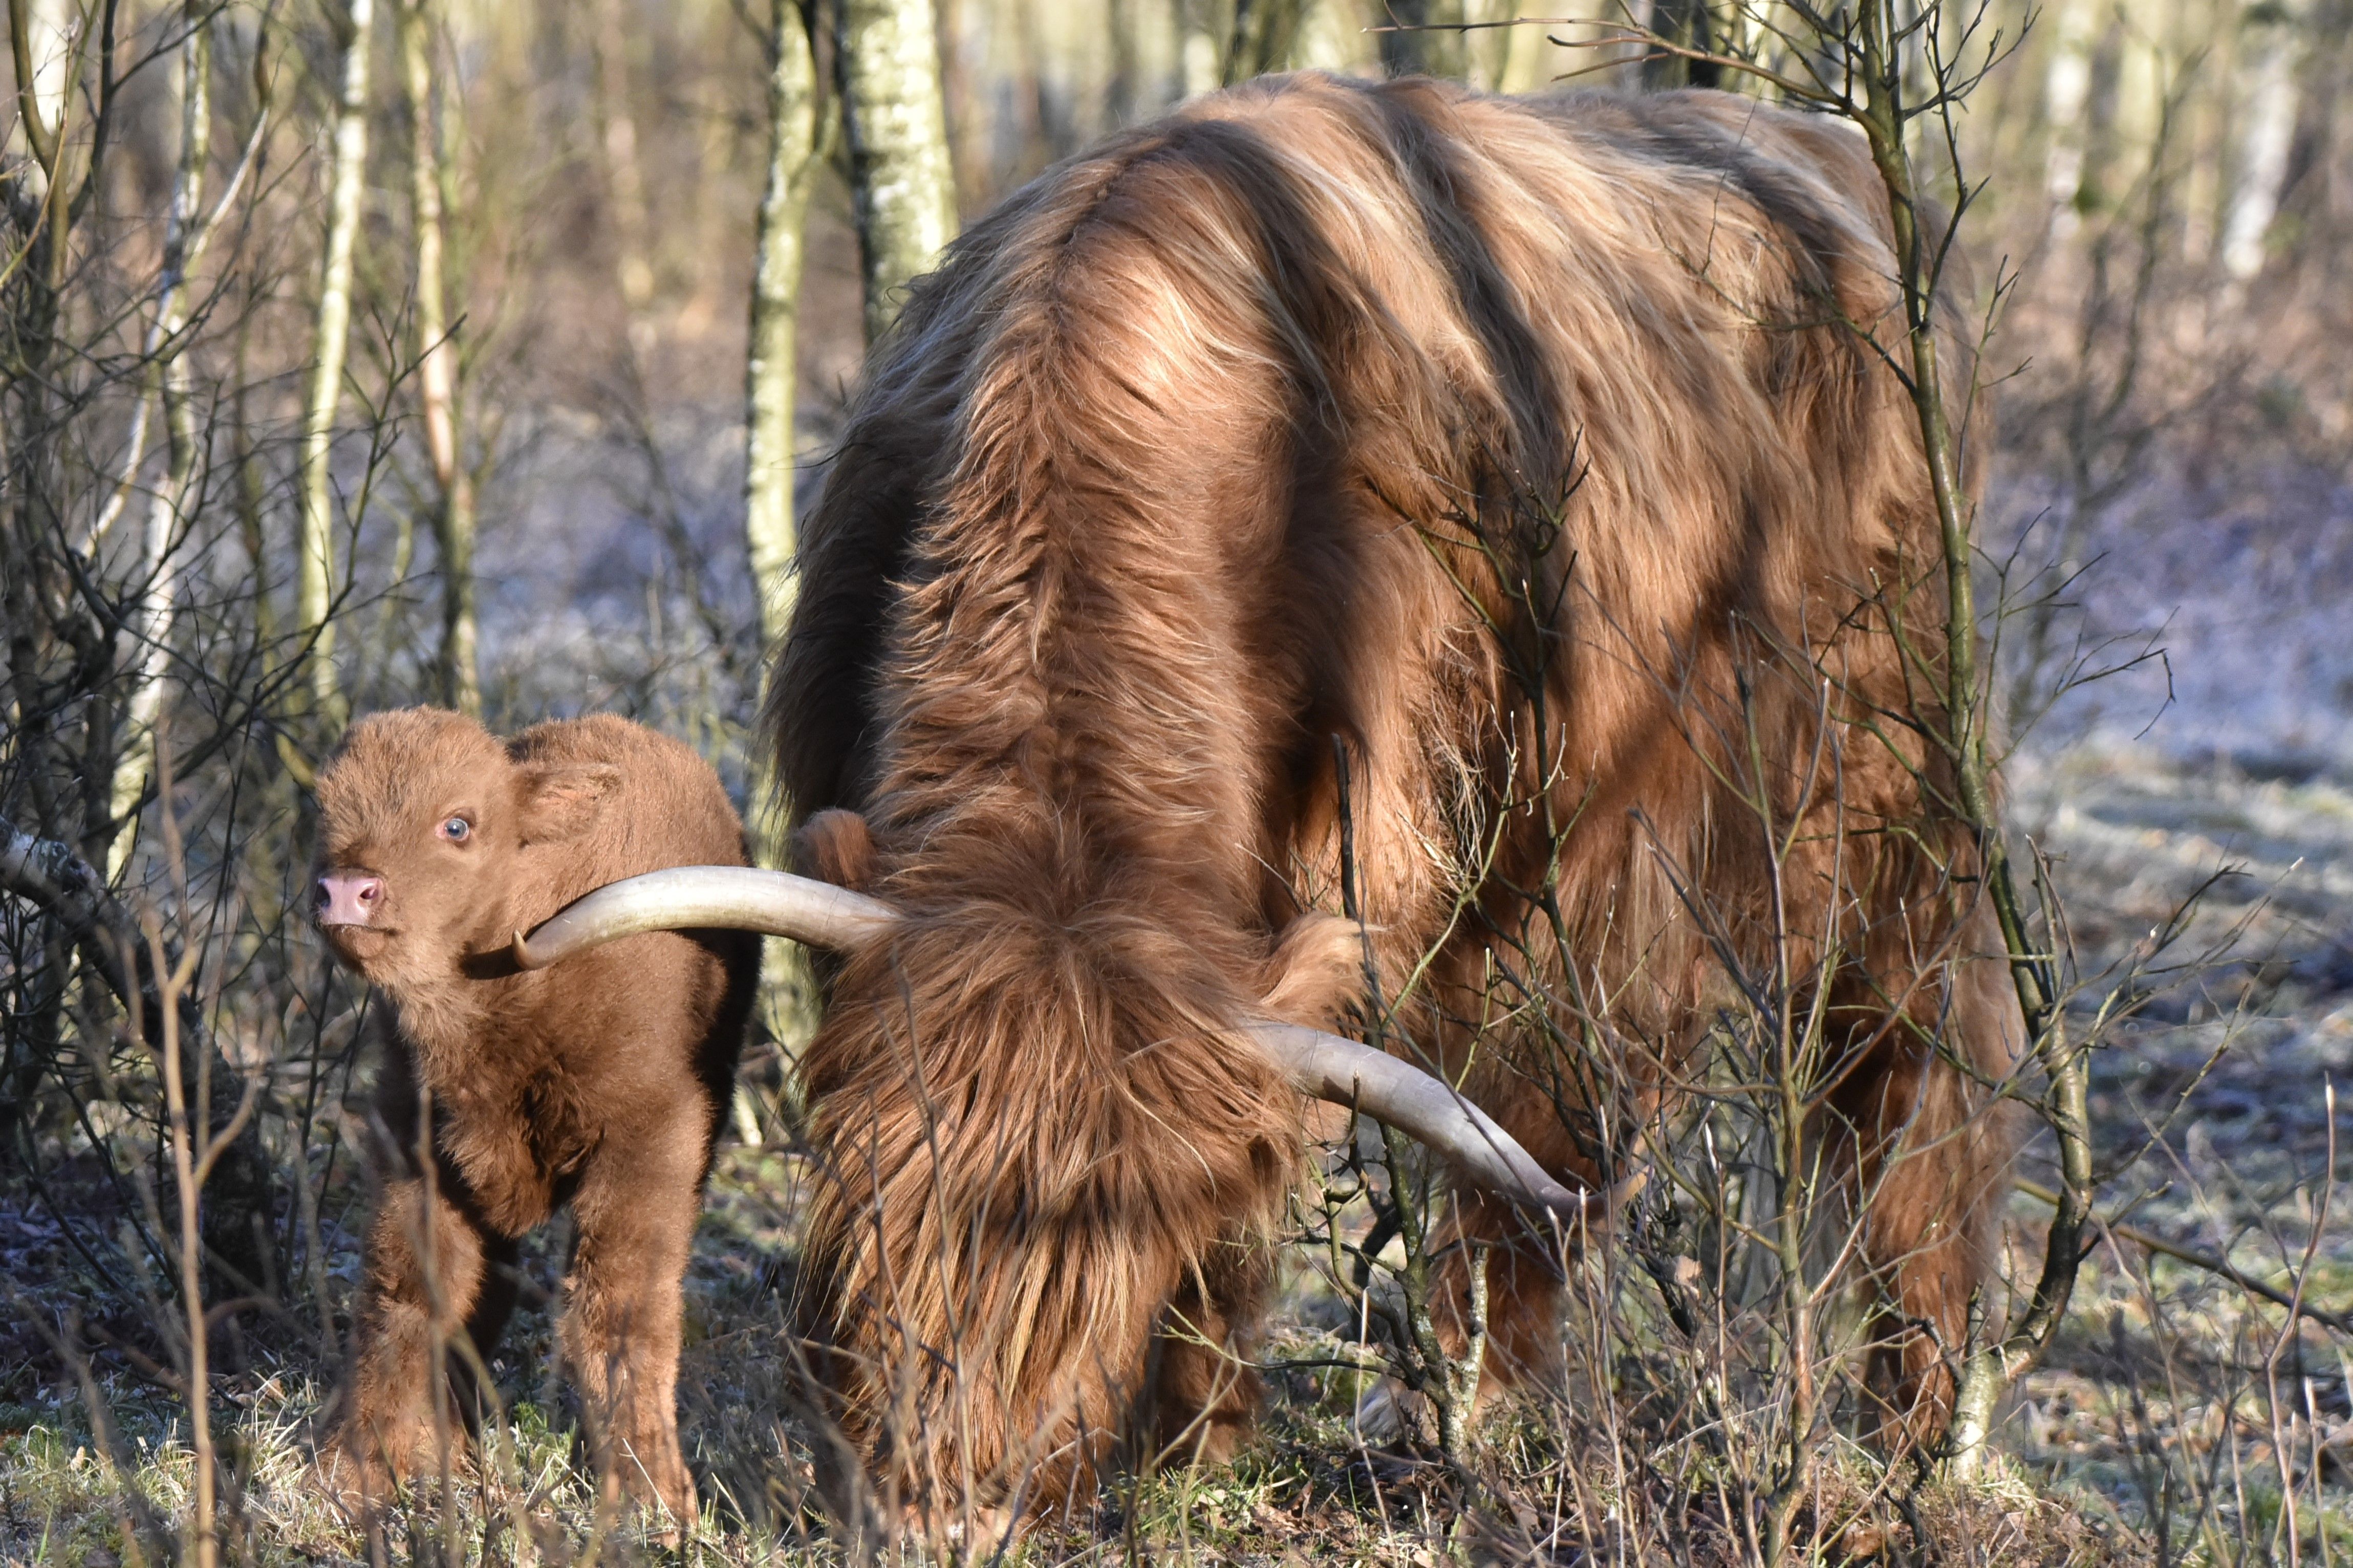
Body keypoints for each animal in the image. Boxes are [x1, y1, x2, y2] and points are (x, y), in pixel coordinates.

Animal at [310, 708, 758, 1527]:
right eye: (323, 807)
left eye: (458, 823)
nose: (346, 890)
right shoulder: (418, 1148)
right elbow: (408, 1297)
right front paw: (352, 1473)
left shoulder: (651, 1140)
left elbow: (619, 1312)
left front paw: (652, 1498)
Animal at [512, 74, 2023, 1541]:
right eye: (871, 1200)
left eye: (1103, 1269)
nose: (940, 1513)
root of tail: (1825, 157)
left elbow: (1257, 1173)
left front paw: (1196, 1452)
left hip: (1848, 781)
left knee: (1872, 1059)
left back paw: (1871, 1414)